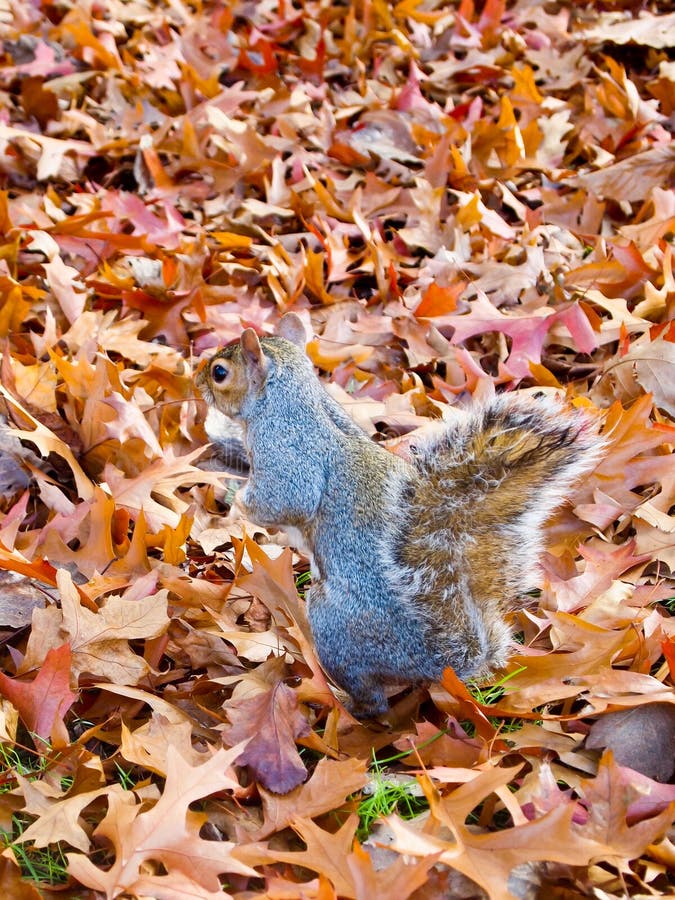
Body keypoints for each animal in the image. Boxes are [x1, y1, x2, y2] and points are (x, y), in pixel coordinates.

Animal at [196, 313, 604, 717]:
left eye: (220, 372)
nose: (197, 382)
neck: (292, 400)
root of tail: (443, 662)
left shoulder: (286, 451)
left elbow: (285, 500)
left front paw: (238, 500)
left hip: (335, 626)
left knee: (372, 700)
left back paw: (341, 702)